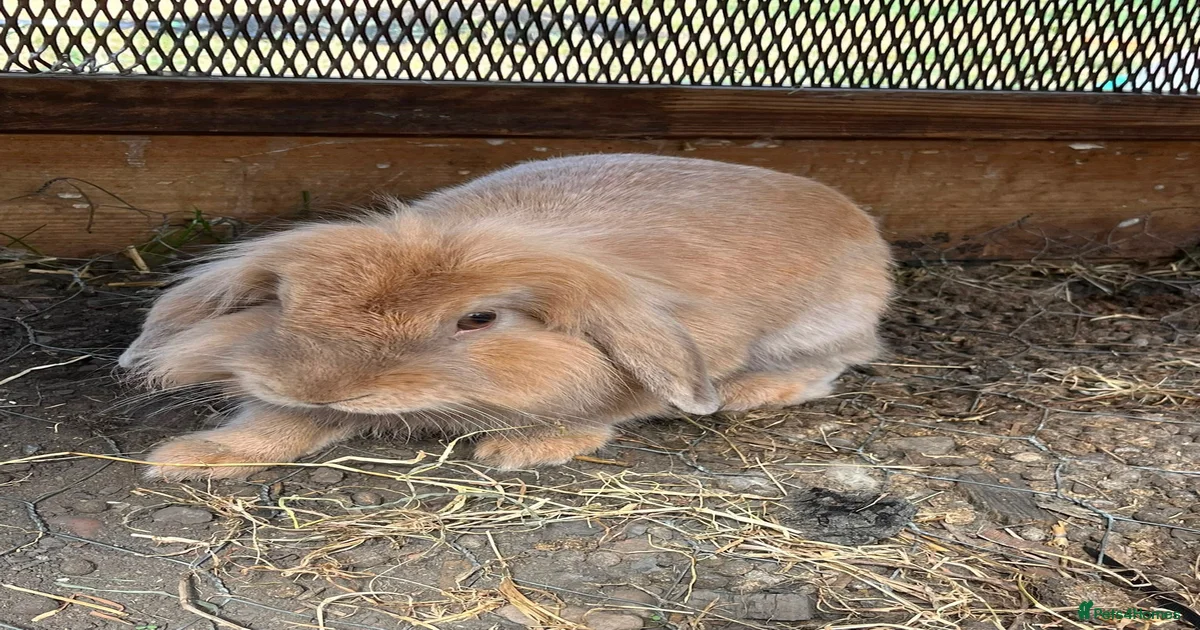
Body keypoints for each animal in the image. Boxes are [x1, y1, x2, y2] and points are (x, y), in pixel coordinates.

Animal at [119, 153, 893, 480]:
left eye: (481, 320)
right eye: (285, 299)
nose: (323, 385)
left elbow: (601, 409)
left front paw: (523, 449)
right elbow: (275, 425)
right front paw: (192, 459)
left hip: (822, 326)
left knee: (834, 364)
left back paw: (752, 391)